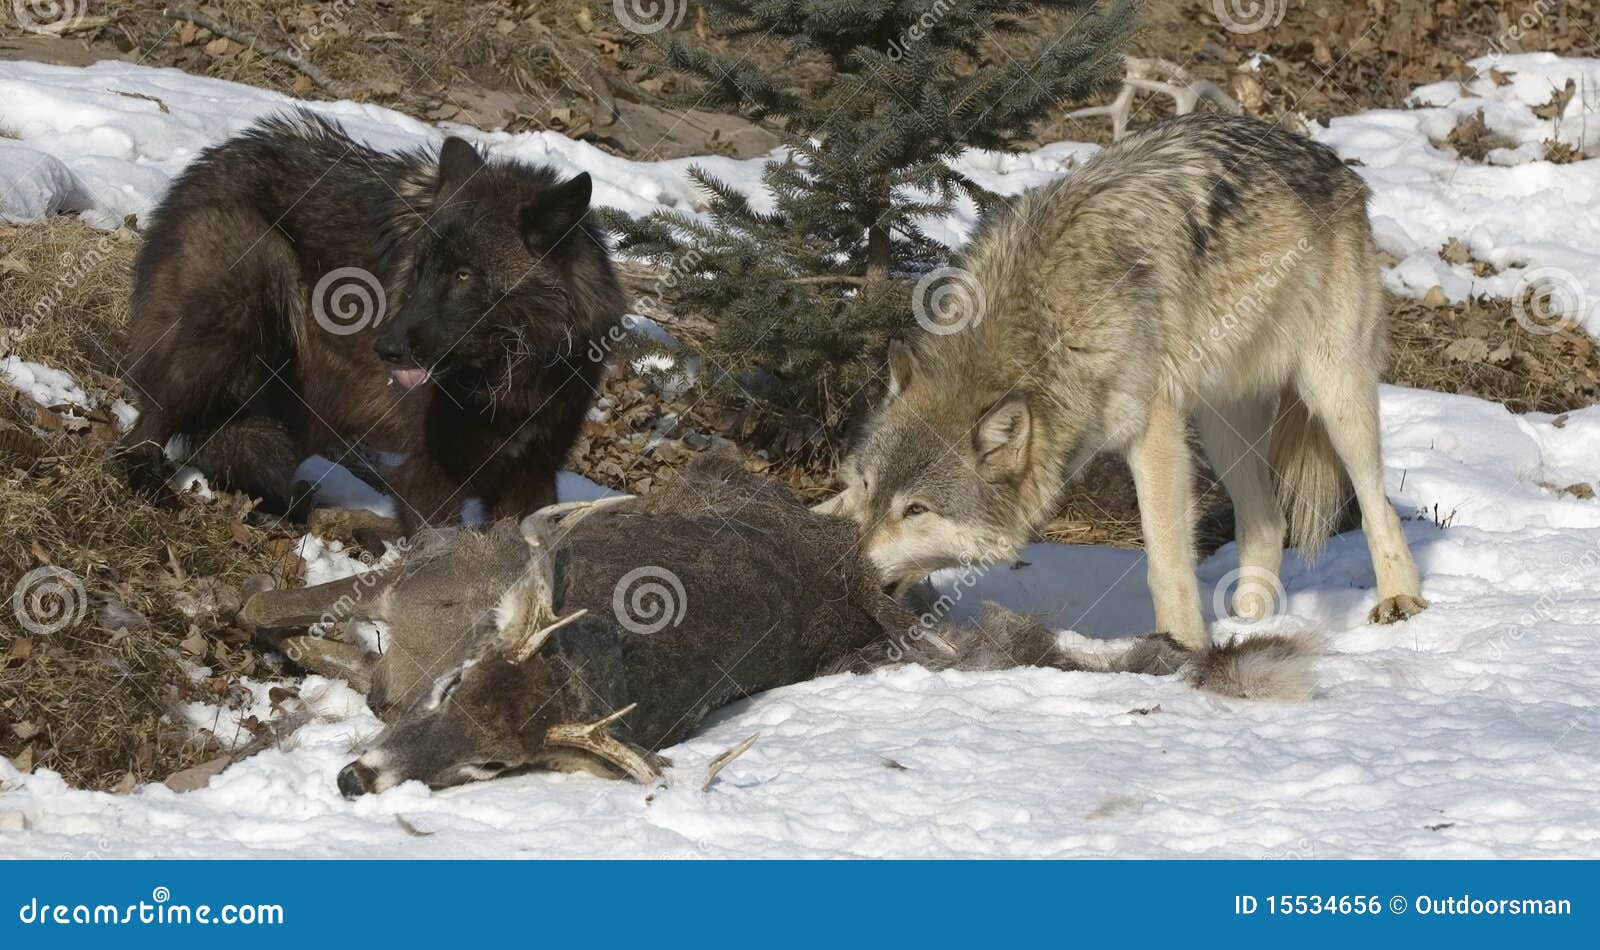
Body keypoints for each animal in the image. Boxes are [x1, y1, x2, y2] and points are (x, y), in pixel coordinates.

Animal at [121, 111, 623, 533]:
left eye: (464, 275)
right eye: (419, 269)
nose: (386, 348)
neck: (511, 385)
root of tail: (206, 163)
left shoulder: (532, 473)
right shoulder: (427, 469)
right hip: (232, 326)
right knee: (145, 427)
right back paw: (148, 482)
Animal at [820, 112, 1427, 649]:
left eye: (916, 510)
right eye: (868, 490)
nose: (846, 569)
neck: (1045, 318)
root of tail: (1333, 161)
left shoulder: (1153, 432)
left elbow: (1165, 562)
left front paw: (1183, 648)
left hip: (1333, 393)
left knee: (1376, 506)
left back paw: (1399, 601)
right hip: (1221, 429)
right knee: (1267, 524)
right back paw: (1250, 626)